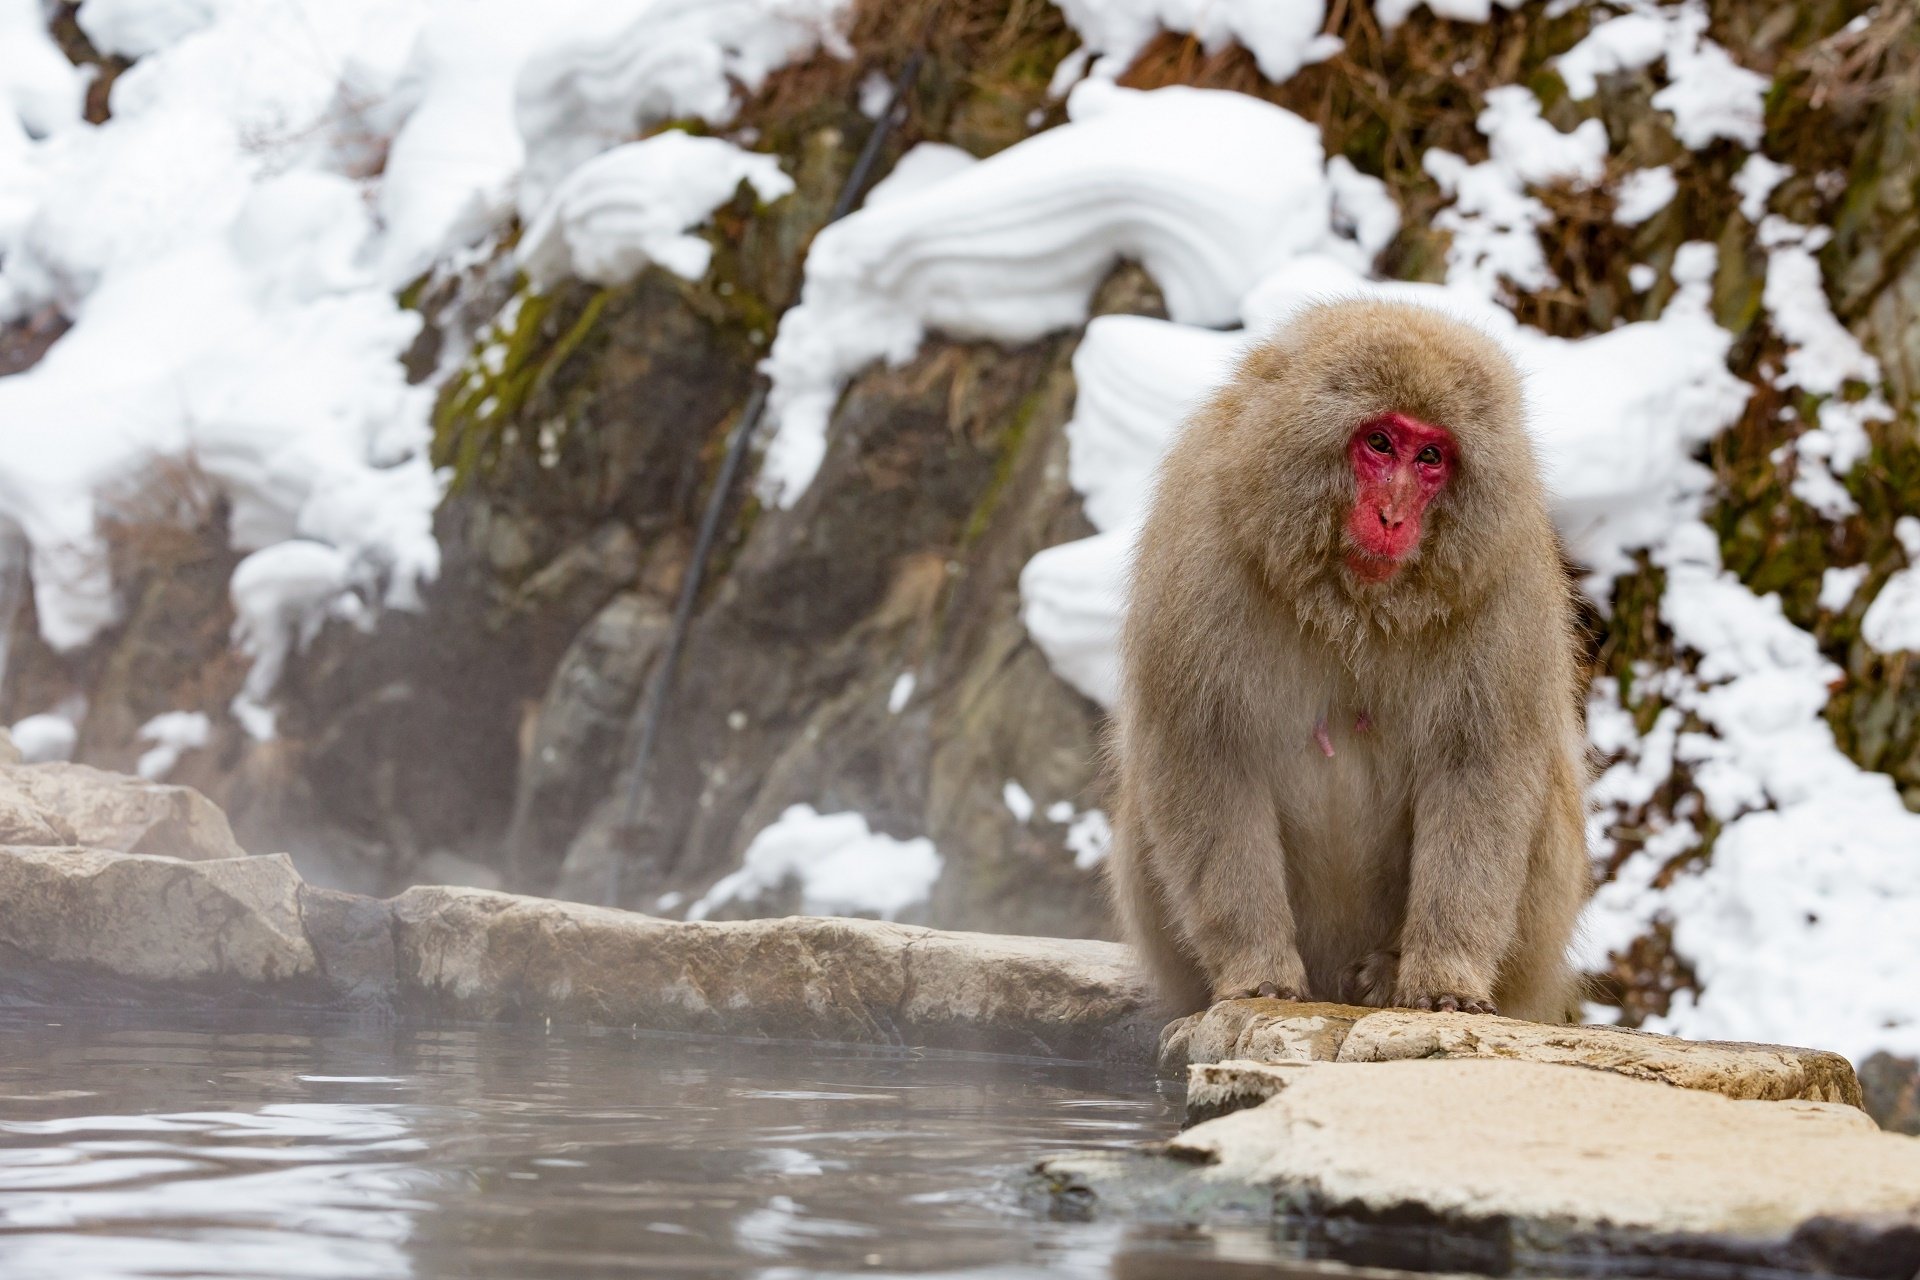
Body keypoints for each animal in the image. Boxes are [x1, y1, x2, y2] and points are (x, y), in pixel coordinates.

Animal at [1105, 298, 1590, 1023]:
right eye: (1380, 443)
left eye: (1430, 456)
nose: (1392, 516)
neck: (1351, 604)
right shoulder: (1201, 548)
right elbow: (1205, 752)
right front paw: (1257, 969)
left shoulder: (1504, 581)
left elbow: (1483, 768)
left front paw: (1443, 975)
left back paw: (1387, 972)